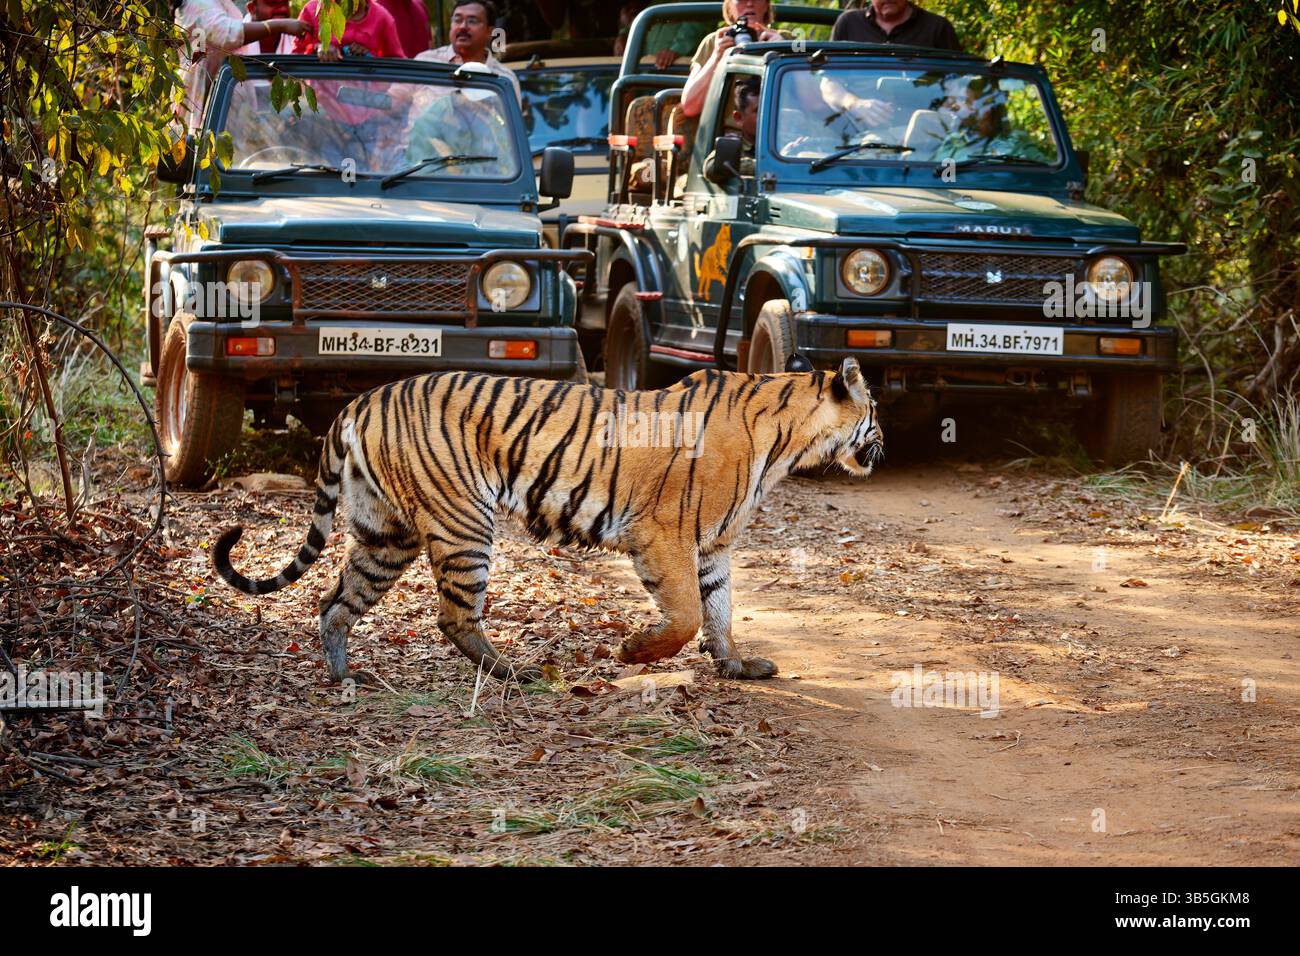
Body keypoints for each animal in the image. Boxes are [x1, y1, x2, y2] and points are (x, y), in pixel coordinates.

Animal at [213, 357, 884, 684]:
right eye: (874, 410)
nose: (886, 443)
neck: (789, 441)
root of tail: (360, 400)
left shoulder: (714, 544)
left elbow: (718, 613)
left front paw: (737, 667)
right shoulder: (663, 534)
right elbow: (689, 614)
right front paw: (635, 653)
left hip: (386, 534)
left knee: (334, 602)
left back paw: (343, 677)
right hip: (463, 524)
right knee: (453, 616)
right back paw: (517, 673)